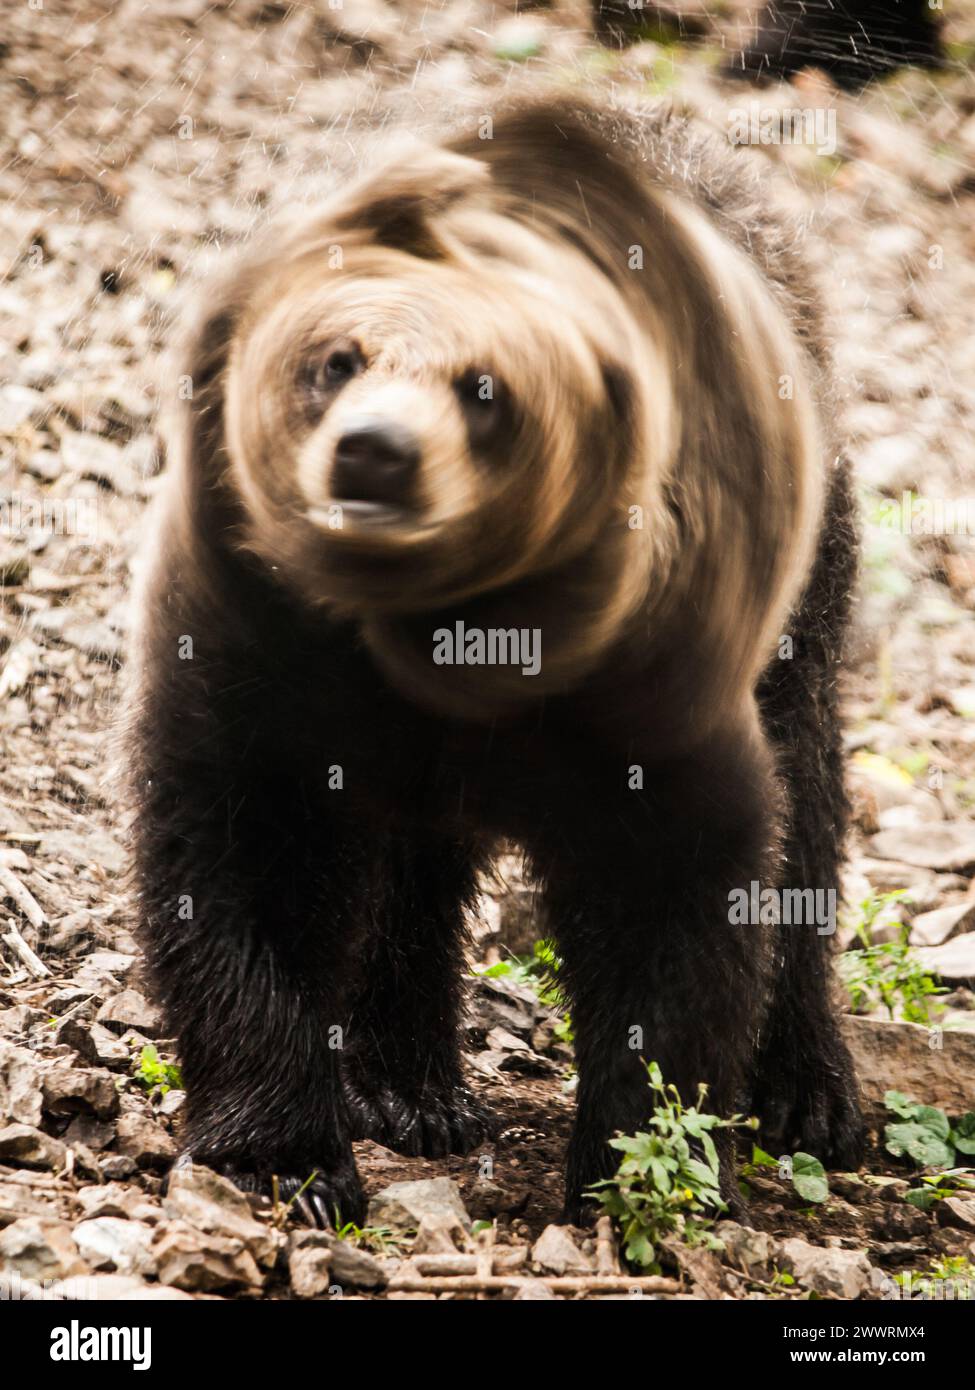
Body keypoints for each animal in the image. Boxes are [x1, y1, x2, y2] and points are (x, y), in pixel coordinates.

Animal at [124, 94, 864, 1227]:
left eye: (485, 388)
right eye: (336, 359)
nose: (375, 454)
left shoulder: (649, 686)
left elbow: (685, 876)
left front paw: (641, 1165)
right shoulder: (263, 647)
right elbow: (252, 858)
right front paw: (283, 1151)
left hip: (806, 585)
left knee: (809, 790)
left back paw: (807, 1089)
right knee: (407, 869)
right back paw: (410, 1084)